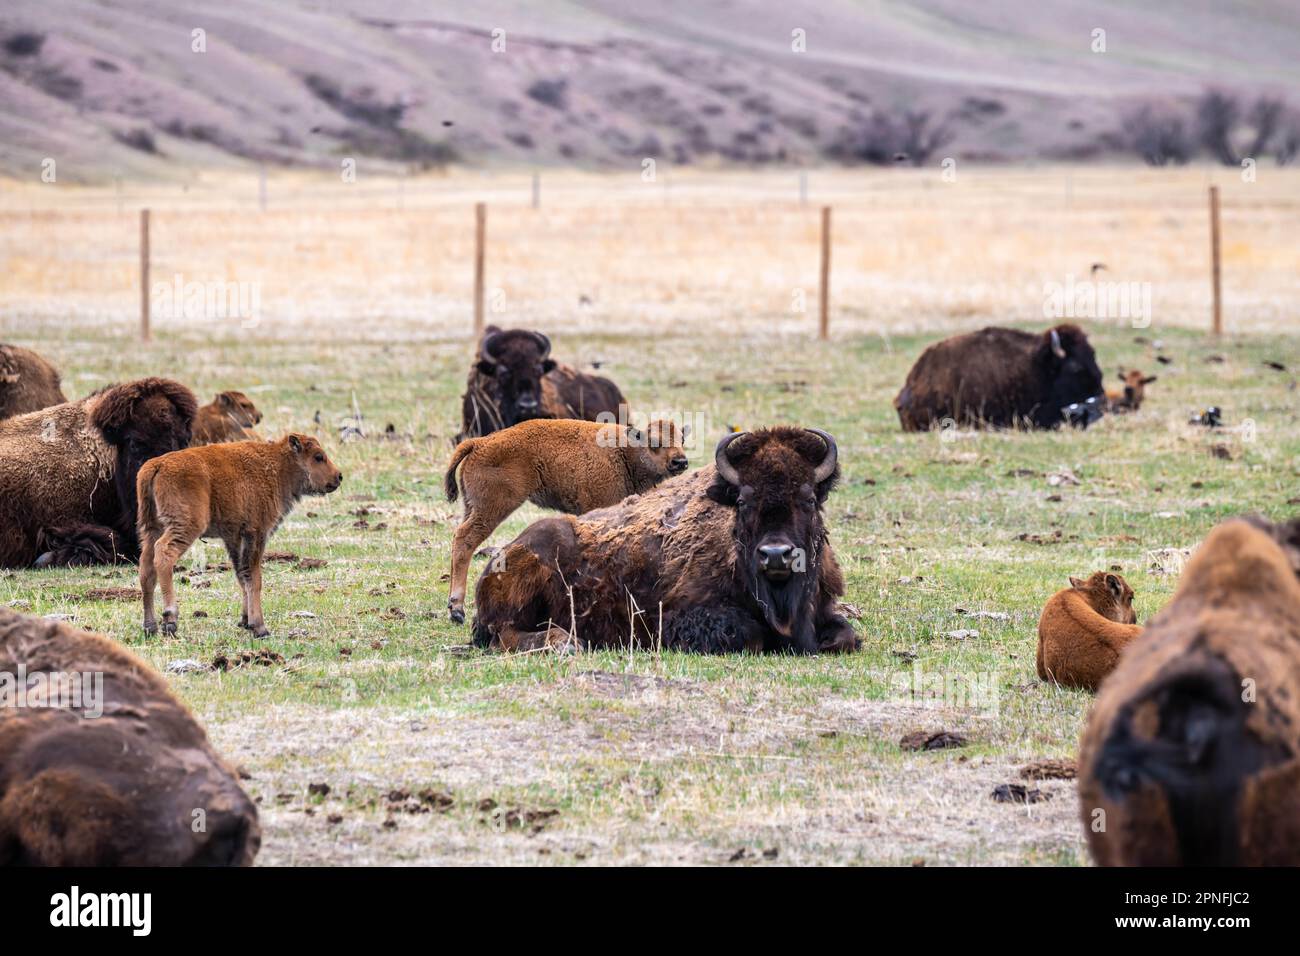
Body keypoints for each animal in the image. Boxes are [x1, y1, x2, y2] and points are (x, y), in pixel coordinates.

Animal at [471, 426, 860, 655]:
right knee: (504, 634)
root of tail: (502, 554)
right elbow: (750, 635)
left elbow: (847, 636)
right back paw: (564, 643)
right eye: (743, 501)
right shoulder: (676, 618)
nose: (776, 555)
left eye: (809, 499)